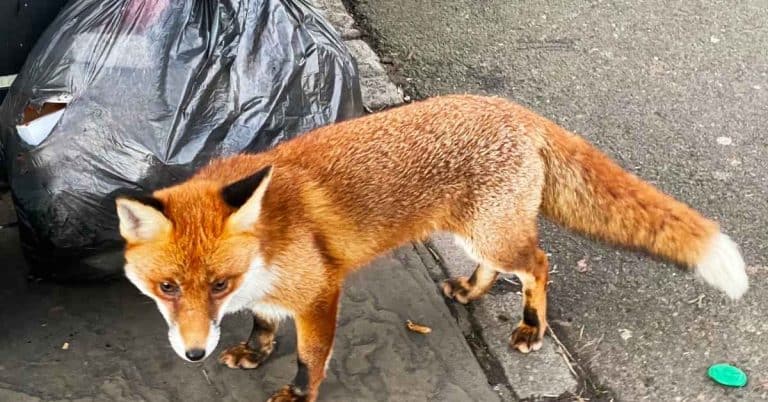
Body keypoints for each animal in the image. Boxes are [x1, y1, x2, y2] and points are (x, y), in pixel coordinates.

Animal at [116, 95, 748, 402]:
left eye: (218, 284)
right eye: (167, 288)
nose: (193, 354)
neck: (267, 247)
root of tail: (518, 111)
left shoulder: (318, 291)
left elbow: (308, 358)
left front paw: (296, 394)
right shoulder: (272, 293)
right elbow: (265, 325)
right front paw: (253, 350)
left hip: (496, 233)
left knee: (539, 264)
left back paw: (531, 327)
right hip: (477, 230)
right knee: (498, 267)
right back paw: (470, 289)